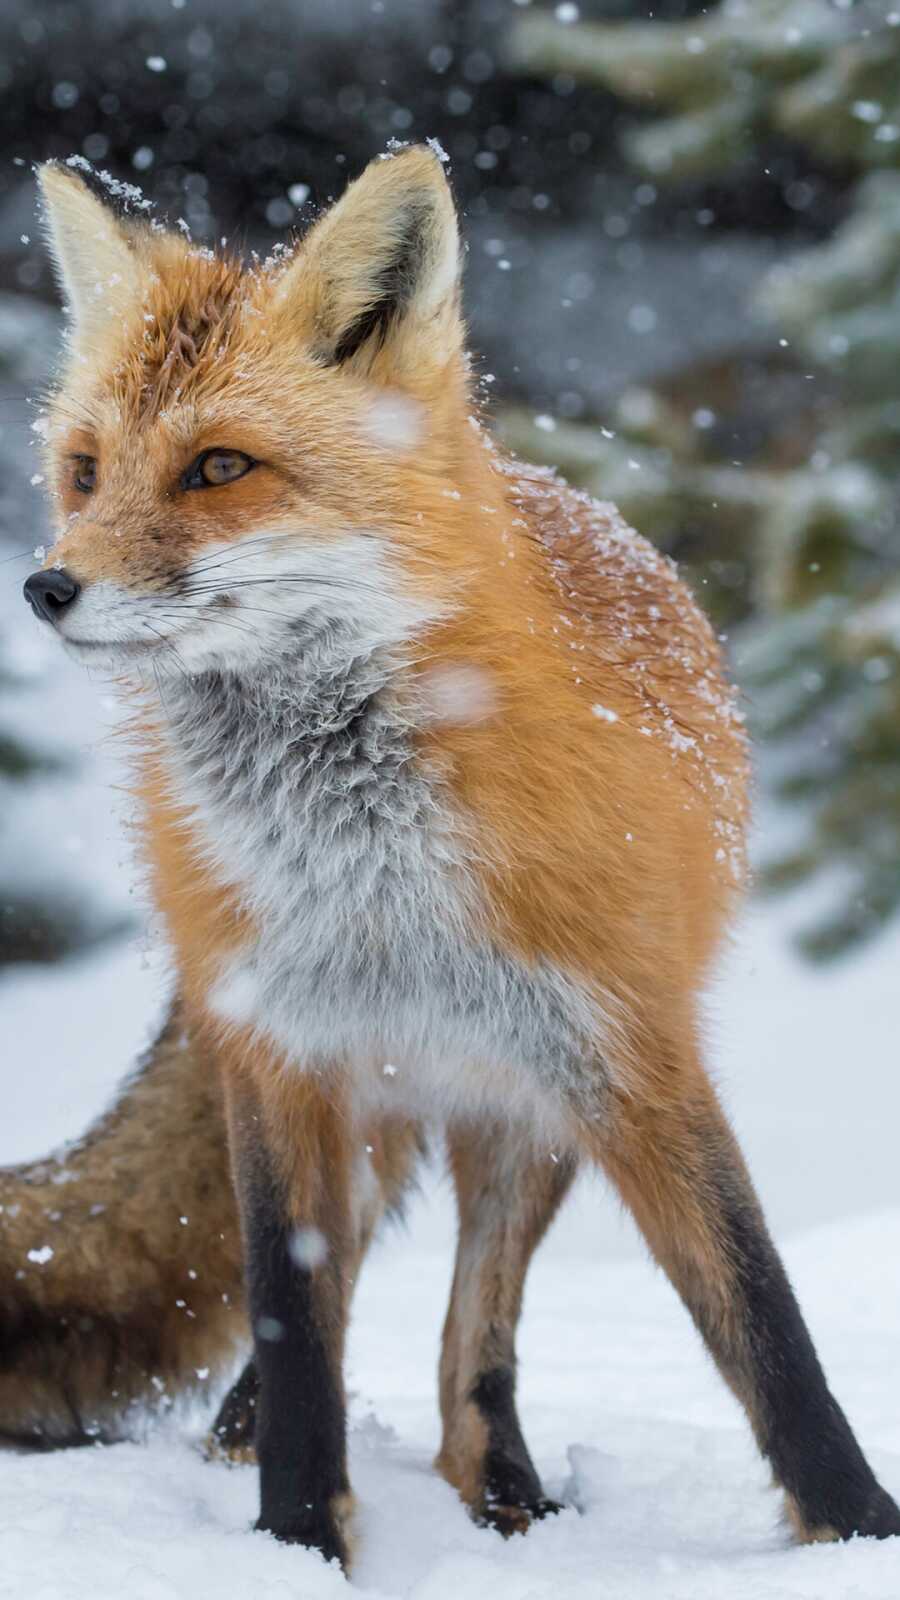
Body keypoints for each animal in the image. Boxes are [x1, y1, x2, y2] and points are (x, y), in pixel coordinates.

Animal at [12, 144, 899, 1569]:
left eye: (218, 467)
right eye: (87, 470)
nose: (46, 588)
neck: (370, 877)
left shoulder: (629, 1050)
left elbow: (765, 1322)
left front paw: (859, 1530)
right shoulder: (278, 1054)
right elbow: (294, 1326)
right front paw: (298, 1543)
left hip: (519, 1114)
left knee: (472, 1338)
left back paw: (508, 1497)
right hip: (358, 1106)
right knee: (340, 1309)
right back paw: (253, 1448)